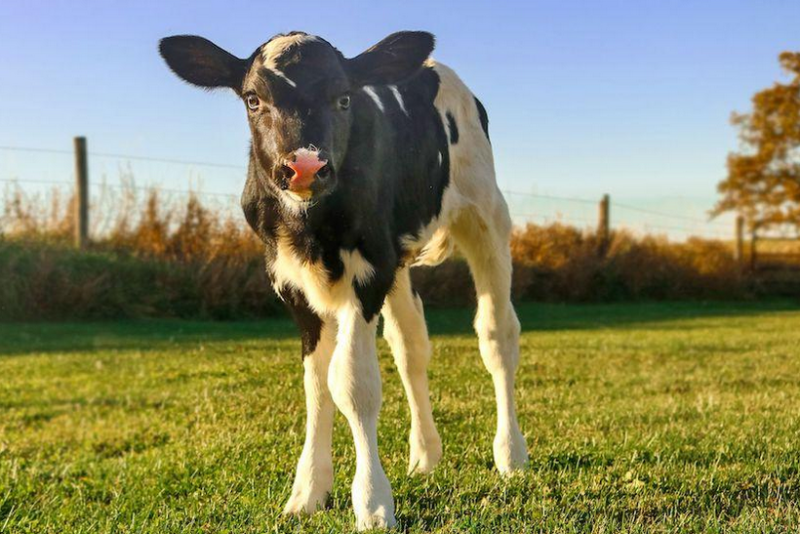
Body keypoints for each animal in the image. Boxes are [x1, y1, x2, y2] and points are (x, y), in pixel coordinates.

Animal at [159, 30, 528, 530]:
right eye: (253, 99)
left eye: (344, 98)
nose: (305, 166)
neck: (312, 231)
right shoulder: (292, 284)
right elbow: (317, 387)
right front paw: (308, 492)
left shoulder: (368, 276)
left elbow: (352, 383)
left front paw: (372, 502)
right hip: (400, 260)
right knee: (411, 347)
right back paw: (425, 456)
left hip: (486, 213)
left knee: (497, 334)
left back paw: (511, 454)